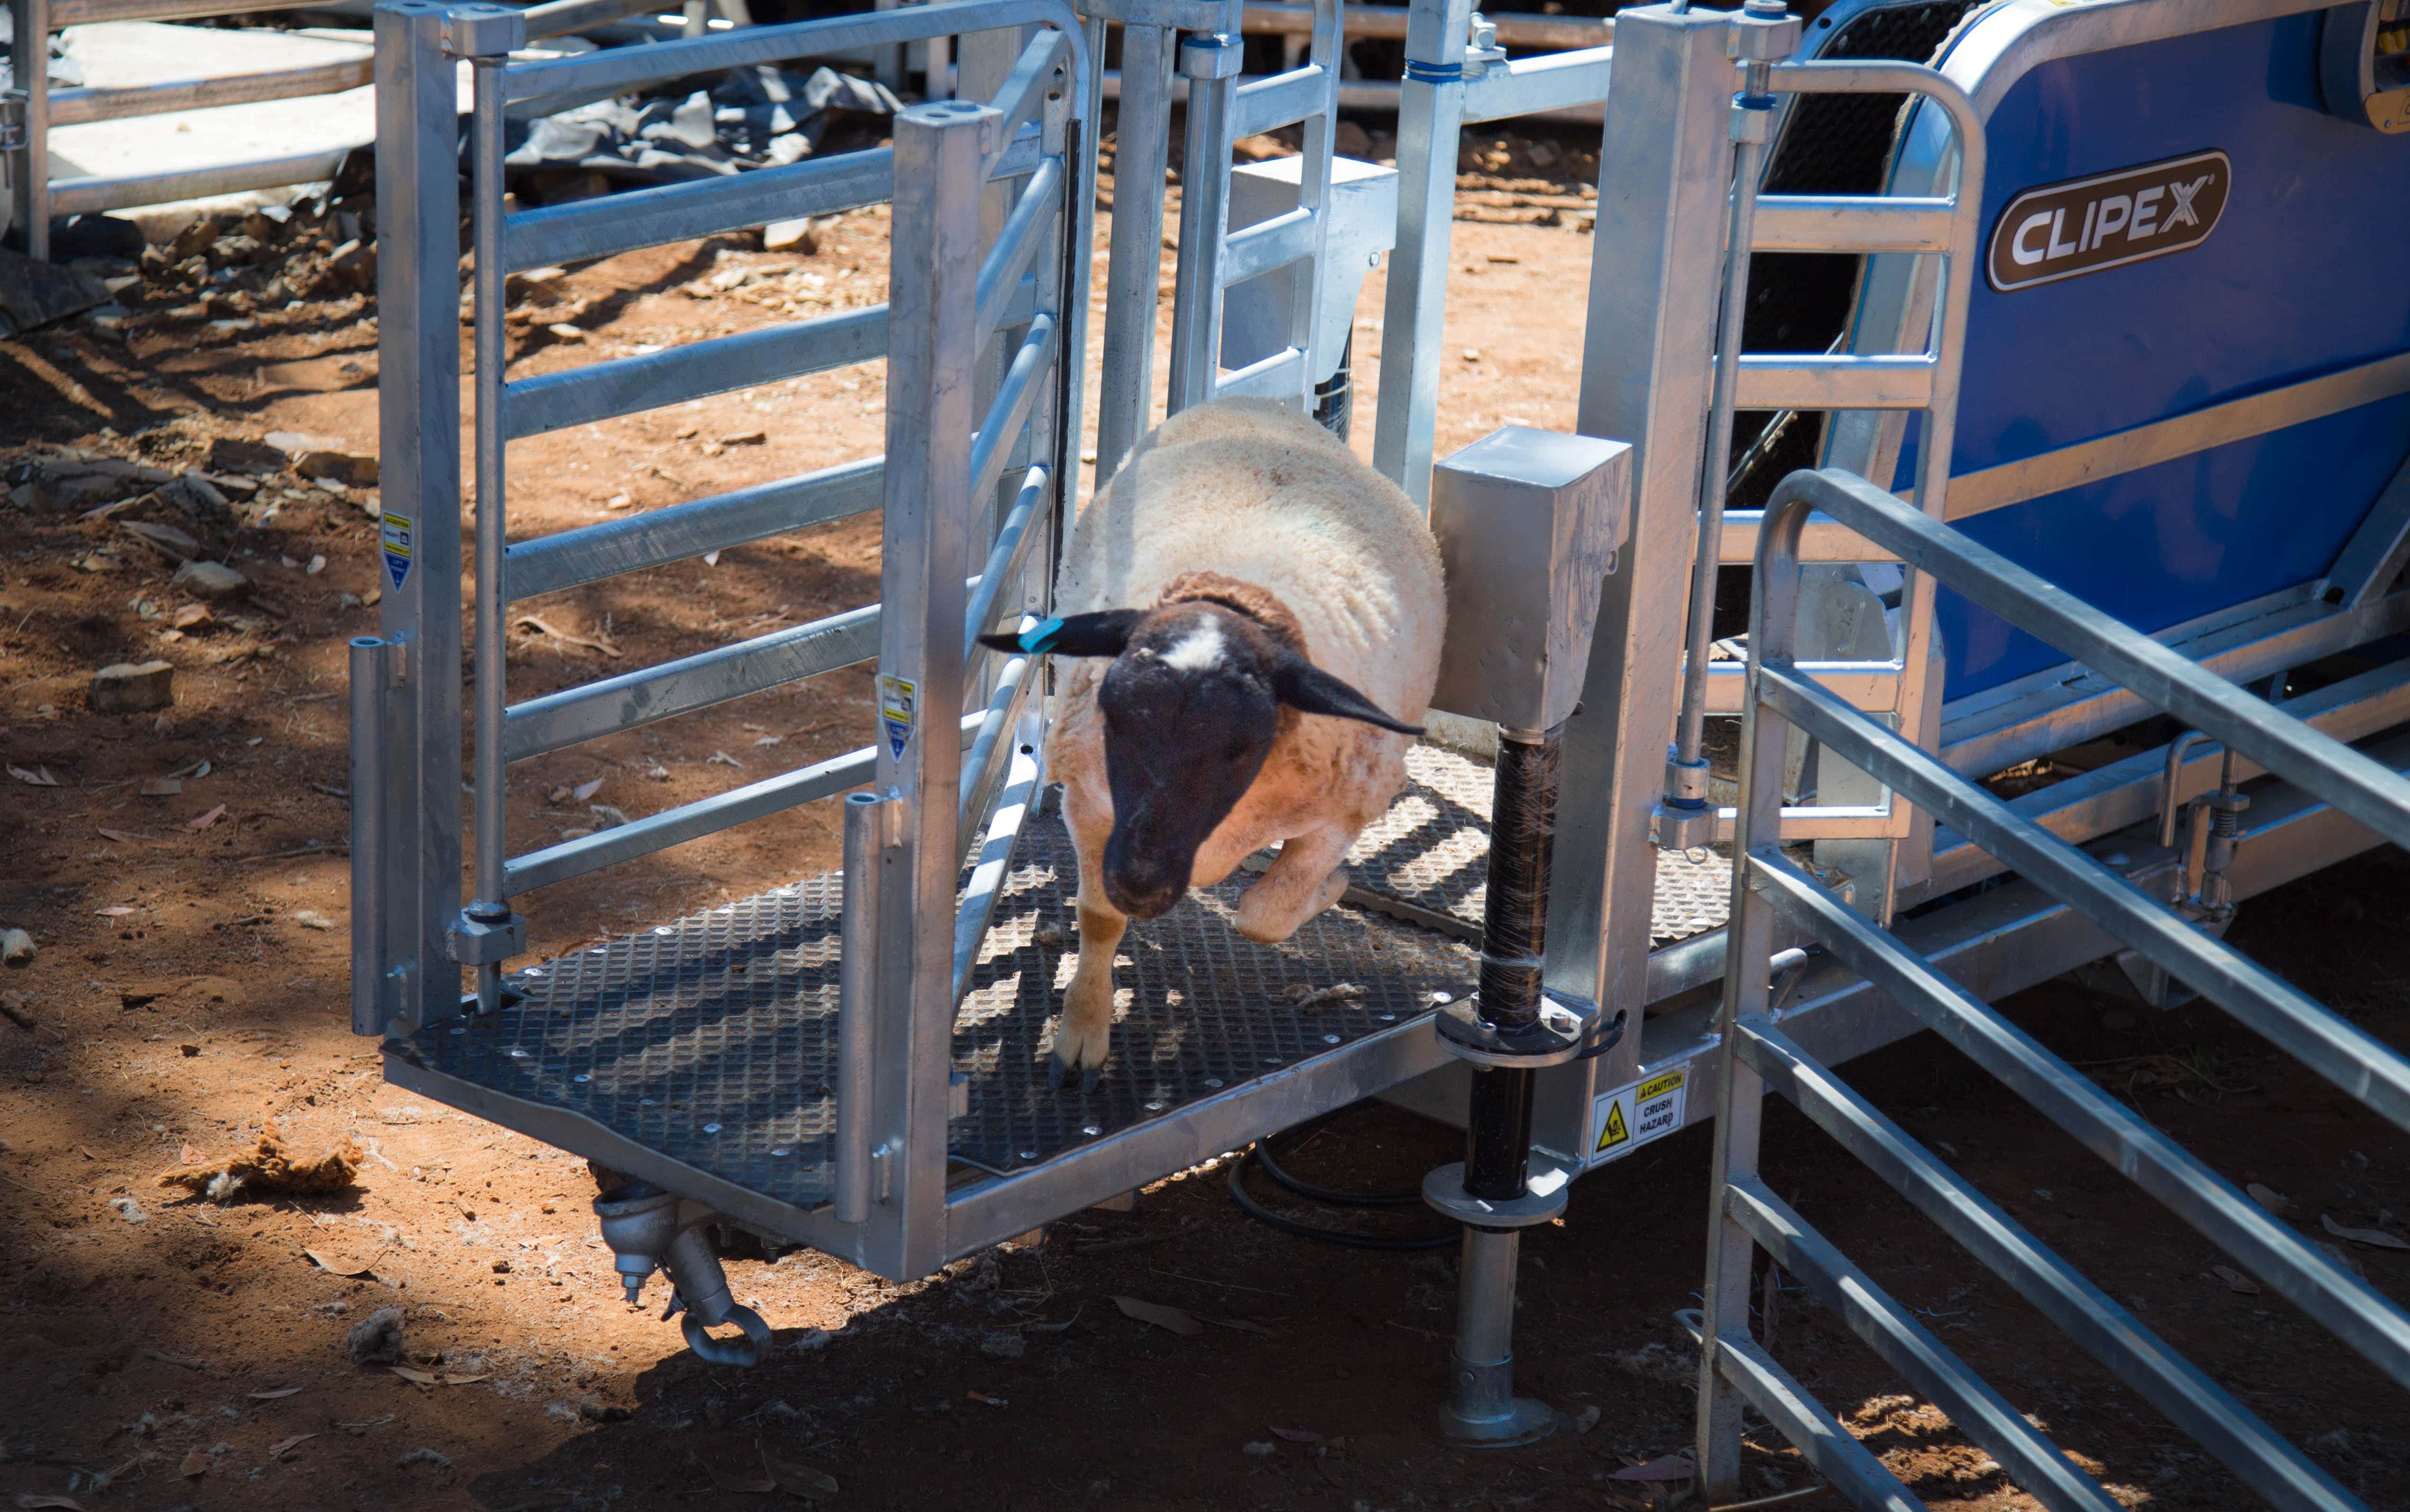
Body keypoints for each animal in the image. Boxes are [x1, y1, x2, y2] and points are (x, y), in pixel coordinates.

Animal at [979, 399, 1446, 1089]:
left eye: (1241, 746)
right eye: (1113, 716)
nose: (1141, 883)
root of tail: (1261, 404)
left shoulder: (1341, 814)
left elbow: (1267, 912)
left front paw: (1330, 889)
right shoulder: (1091, 807)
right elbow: (1099, 917)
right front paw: (1082, 1034)